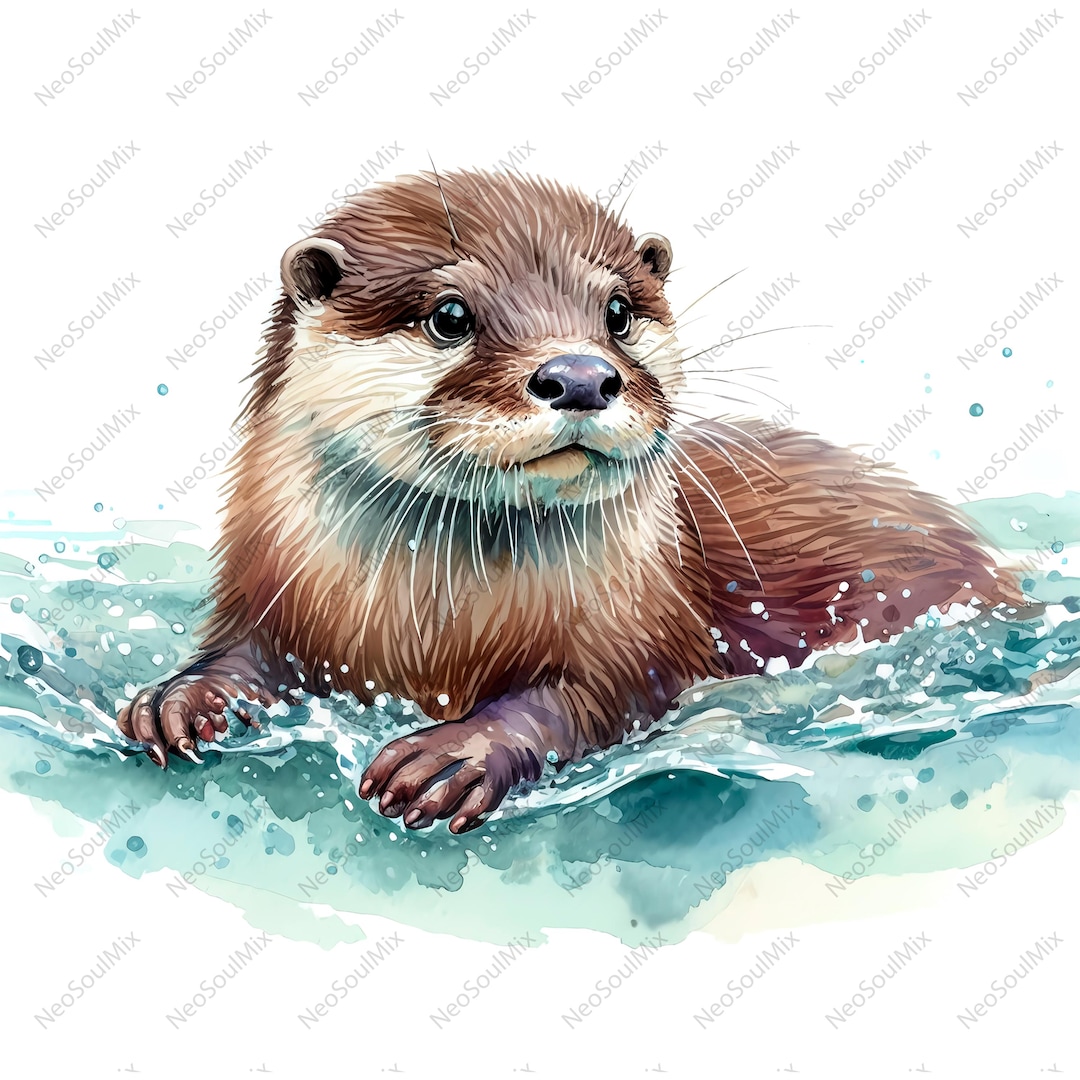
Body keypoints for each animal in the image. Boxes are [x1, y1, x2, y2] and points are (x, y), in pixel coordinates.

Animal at [118, 169, 1015, 833]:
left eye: (617, 311)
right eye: (450, 315)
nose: (581, 375)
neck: (431, 627)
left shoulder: (643, 623)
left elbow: (587, 699)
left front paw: (456, 755)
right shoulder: (265, 589)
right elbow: (242, 653)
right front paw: (181, 699)